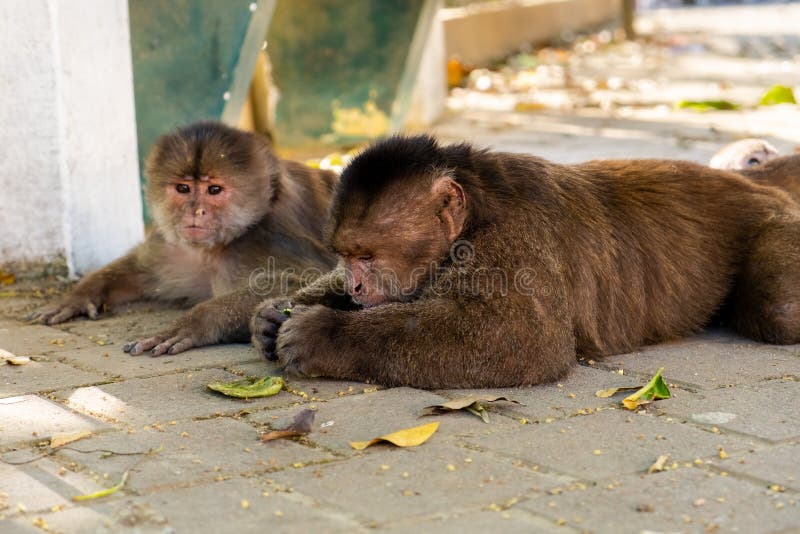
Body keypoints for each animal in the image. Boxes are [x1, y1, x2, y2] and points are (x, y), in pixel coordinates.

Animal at [31, 121, 337, 356]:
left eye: (214, 190)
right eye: (183, 188)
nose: (195, 211)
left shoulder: (266, 239)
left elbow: (304, 282)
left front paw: (195, 323)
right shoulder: (171, 246)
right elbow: (138, 271)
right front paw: (79, 295)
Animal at [250, 135, 800, 388]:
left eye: (368, 256)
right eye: (345, 258)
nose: (357, 288)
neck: (476, 212)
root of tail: (751, 182)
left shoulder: (516, 238)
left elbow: (523, 340)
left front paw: (324, 335)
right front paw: (273, 316)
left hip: (777, 222)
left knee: (778, 311)